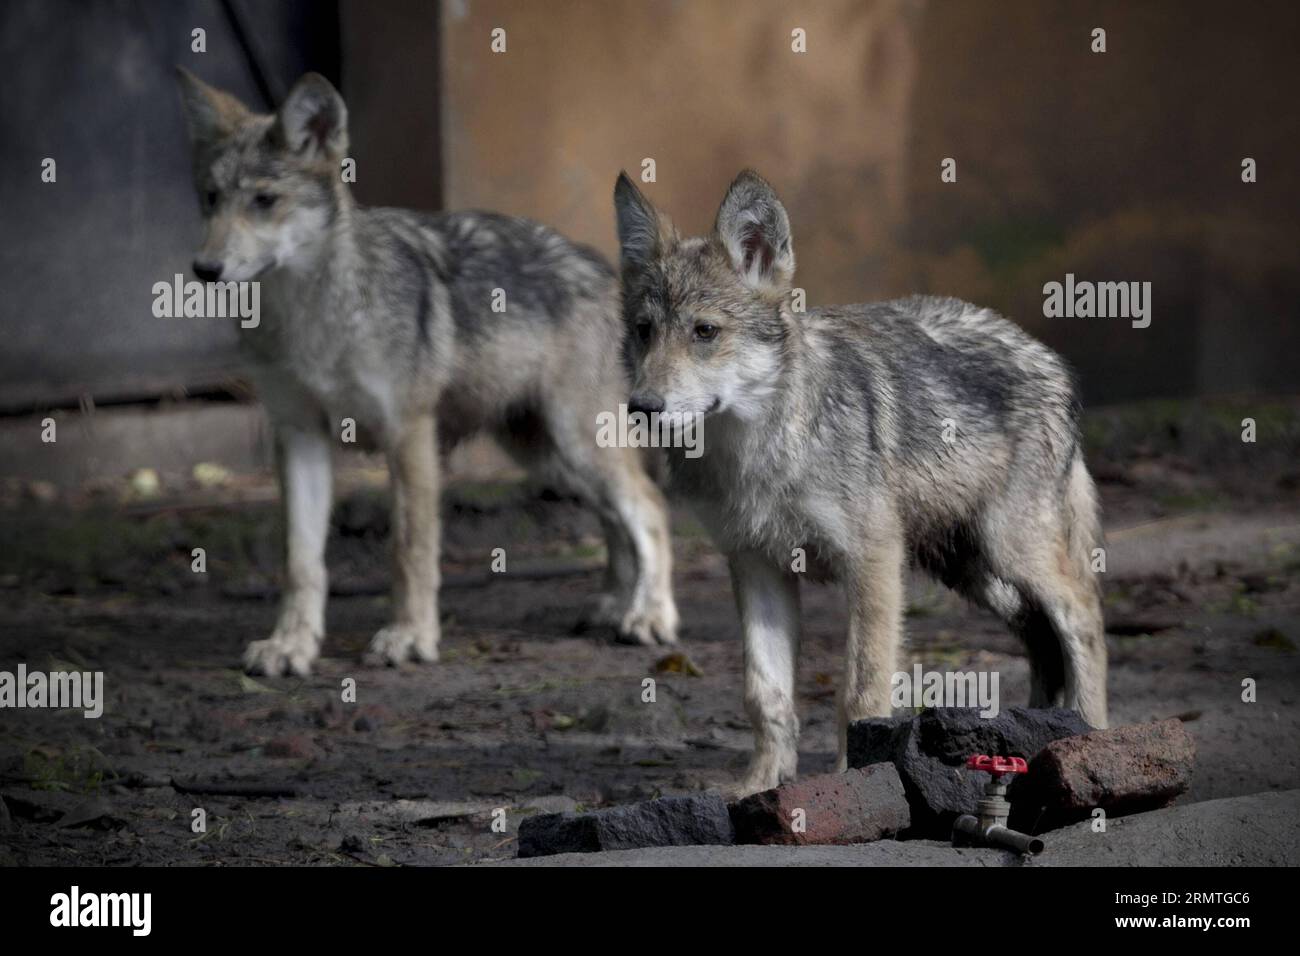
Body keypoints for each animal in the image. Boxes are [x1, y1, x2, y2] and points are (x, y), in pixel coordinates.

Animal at [175, 69, 678, 676]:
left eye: (264, 201)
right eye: (211, 198)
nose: (205, 270)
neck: (310, 317)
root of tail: (605, 269)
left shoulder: (409, 433)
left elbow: (409, 549)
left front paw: (410, 637)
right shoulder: (299, 437)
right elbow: (301, 560)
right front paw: (291, 645)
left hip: (579, 445)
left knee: (650, 510)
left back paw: (649, 618)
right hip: (549, 457)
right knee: (619, 523)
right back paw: (614, 606)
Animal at [613, 169, 1107, 795]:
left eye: (704, 332)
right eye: (645, 332)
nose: (642, 407)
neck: (755, 452)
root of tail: (1050, 359)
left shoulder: (873, 563)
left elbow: (861, 692)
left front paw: (853, 780)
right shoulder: (757, 566)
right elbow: (765, 694)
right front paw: (761, 786)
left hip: (1014, 553)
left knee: (1083, 618)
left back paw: (1090, 736)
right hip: (973, 572)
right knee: (1044, 640)